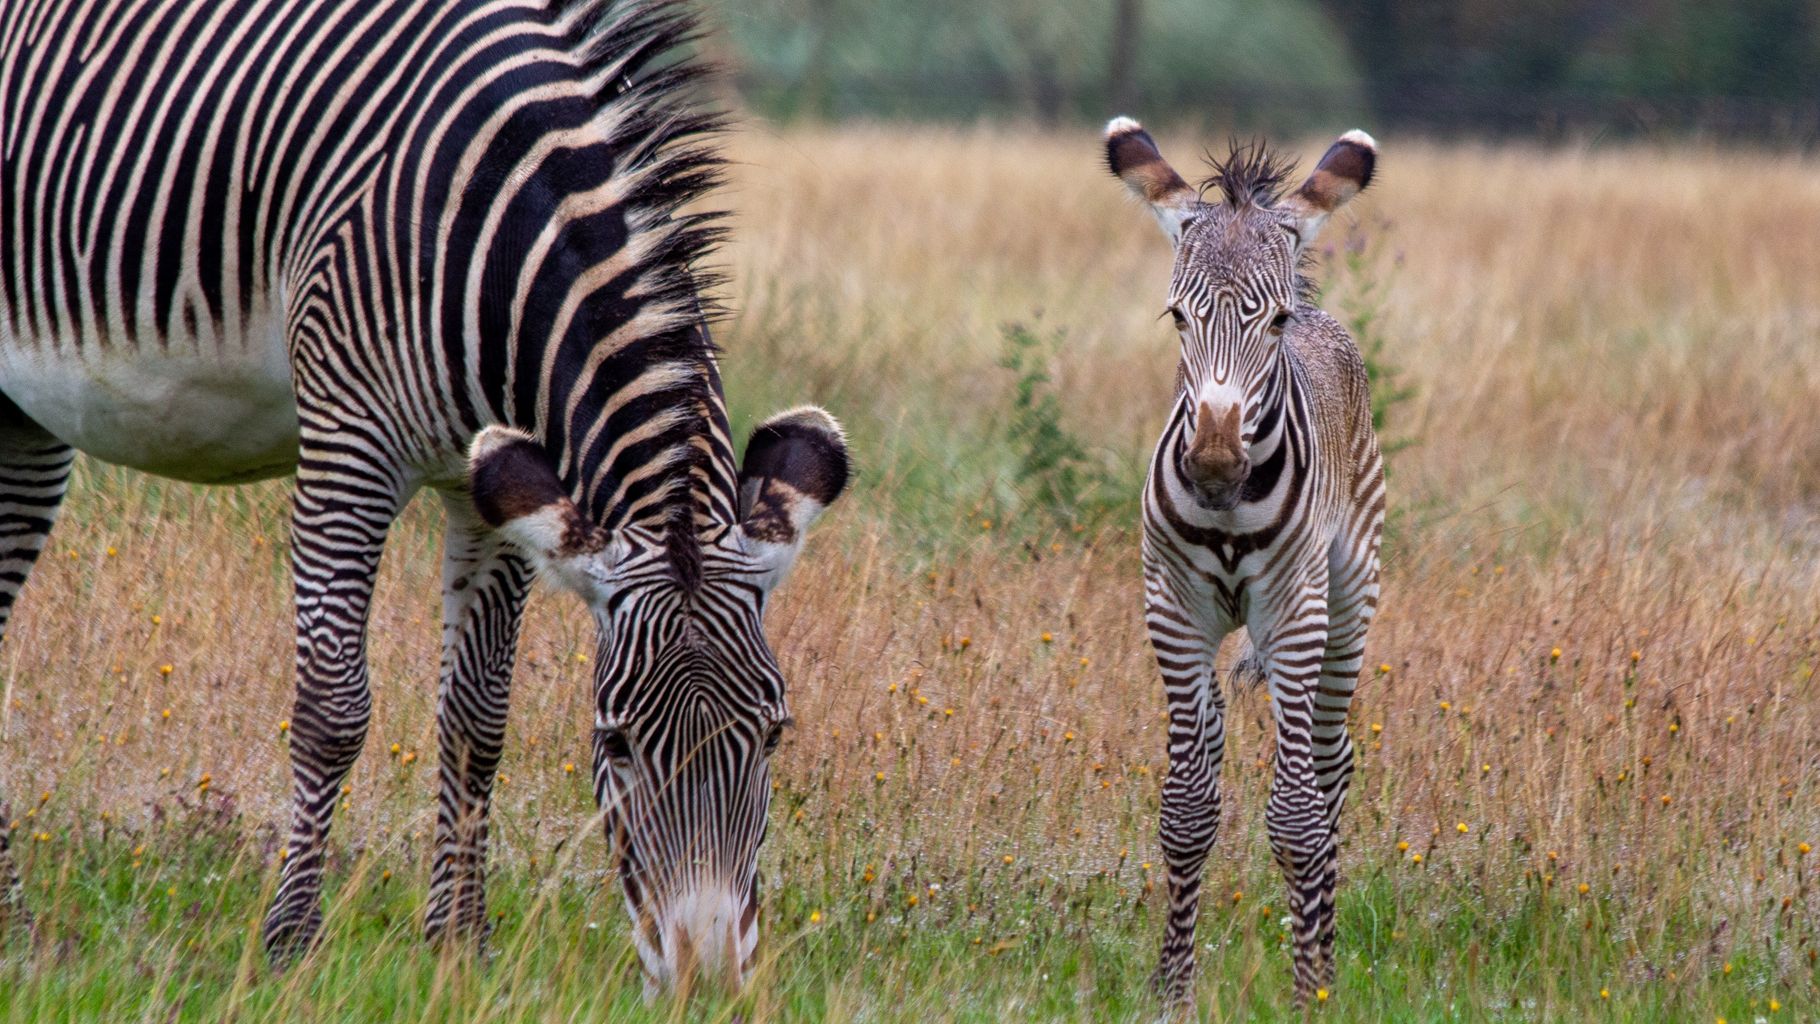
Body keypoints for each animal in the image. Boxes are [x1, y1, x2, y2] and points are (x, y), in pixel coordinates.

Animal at [0, 0, 851, 993]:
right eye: (615, 742)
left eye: (775, 732)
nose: (705, 979)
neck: (499, 223)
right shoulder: (349, 439)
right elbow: (333, 709)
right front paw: (292, 944)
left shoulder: (493, 480)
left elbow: (477, 716)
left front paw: (459, 945)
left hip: (23, 421)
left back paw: (13, 922)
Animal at [1103, 118, 1385, 1009]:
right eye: (1176, 318)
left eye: (1274, 321)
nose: (1216, 464)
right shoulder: (1173, 611)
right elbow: (1188, 810)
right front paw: (1170, 990)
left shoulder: (1294, 618)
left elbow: (1295, 818)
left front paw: (1306, 996)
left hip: (1347, 609)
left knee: (1329, 772)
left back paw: (1323, 960)